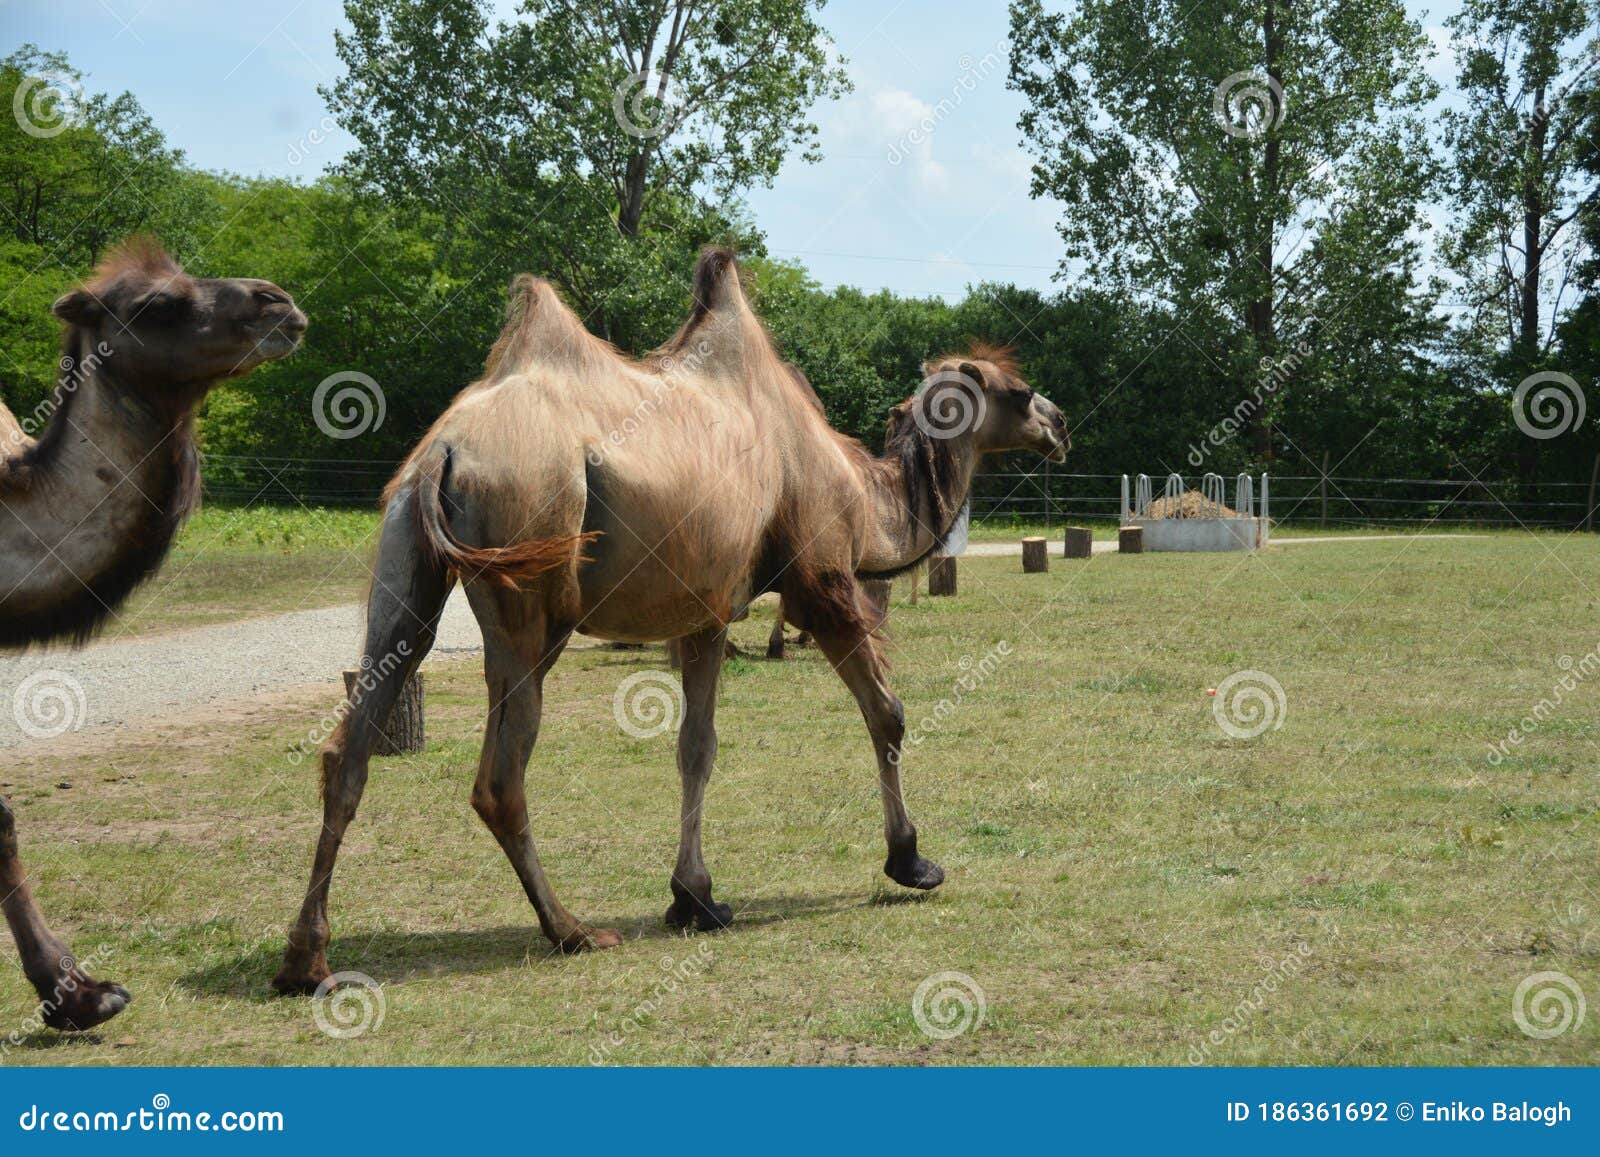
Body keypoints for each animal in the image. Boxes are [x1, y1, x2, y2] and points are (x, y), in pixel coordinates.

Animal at [275, 249, 1068, 992]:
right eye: (1016, 392)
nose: (1059, 424)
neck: (859, 495)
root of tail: (443, 451)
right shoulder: (821, 583)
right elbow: (887, 713)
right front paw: (911, 860)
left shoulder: (705, 612)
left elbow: (696, 746)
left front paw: (696, 897)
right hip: (531, 579)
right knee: (499, 776)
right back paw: (571, 930)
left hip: (406, 557)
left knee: (350, 745)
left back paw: (305, 959)